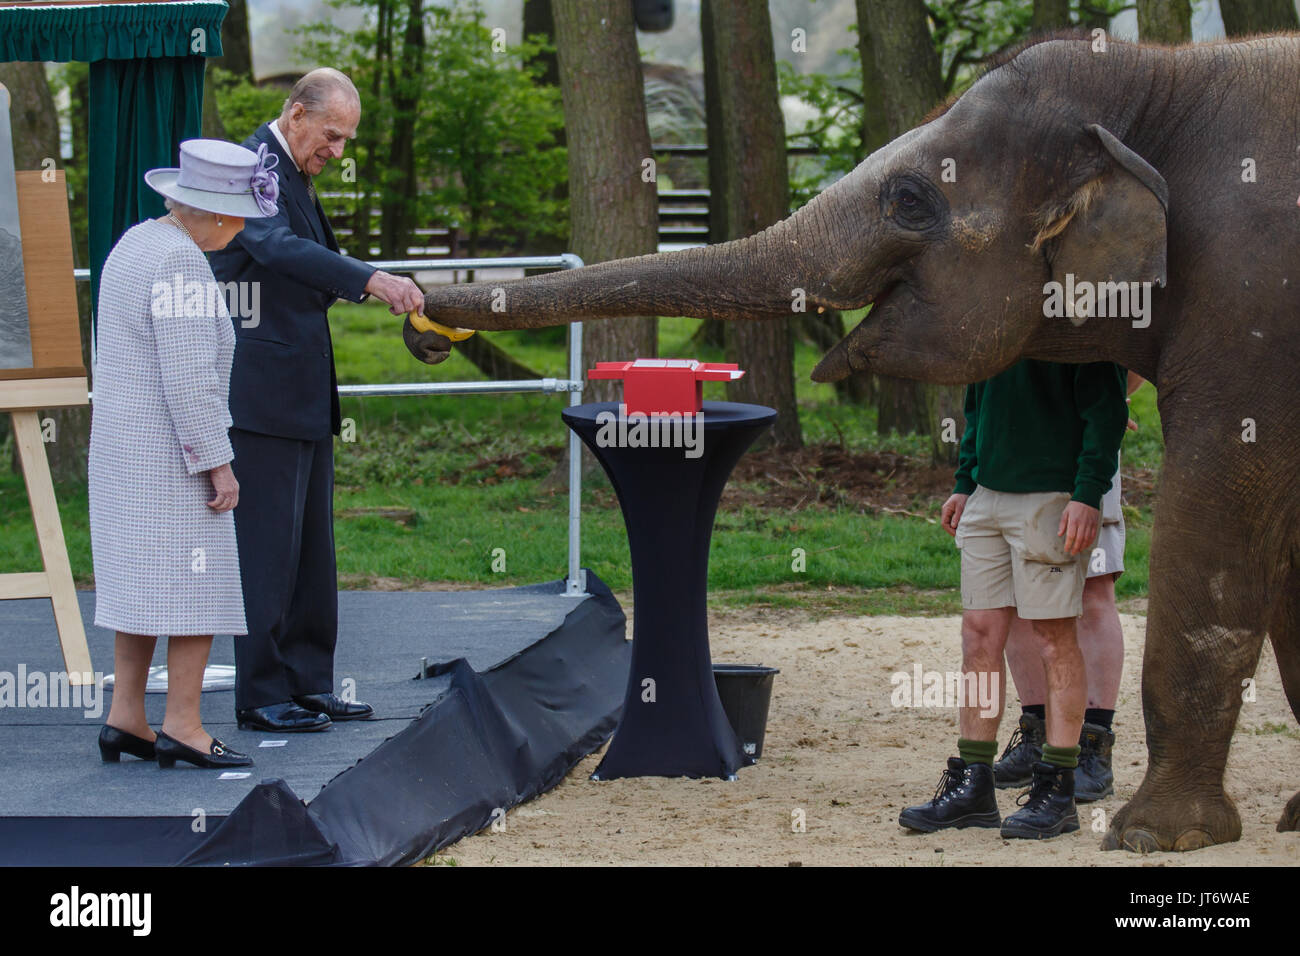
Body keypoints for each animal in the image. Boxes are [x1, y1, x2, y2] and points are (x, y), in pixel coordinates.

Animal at [402, 33, 1300, 852]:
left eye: (909, 199)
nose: (424, 327)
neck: (1162, 73)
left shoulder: (1250, 313)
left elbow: (1211, 532)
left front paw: (1157, 835)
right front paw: (1287, 818)